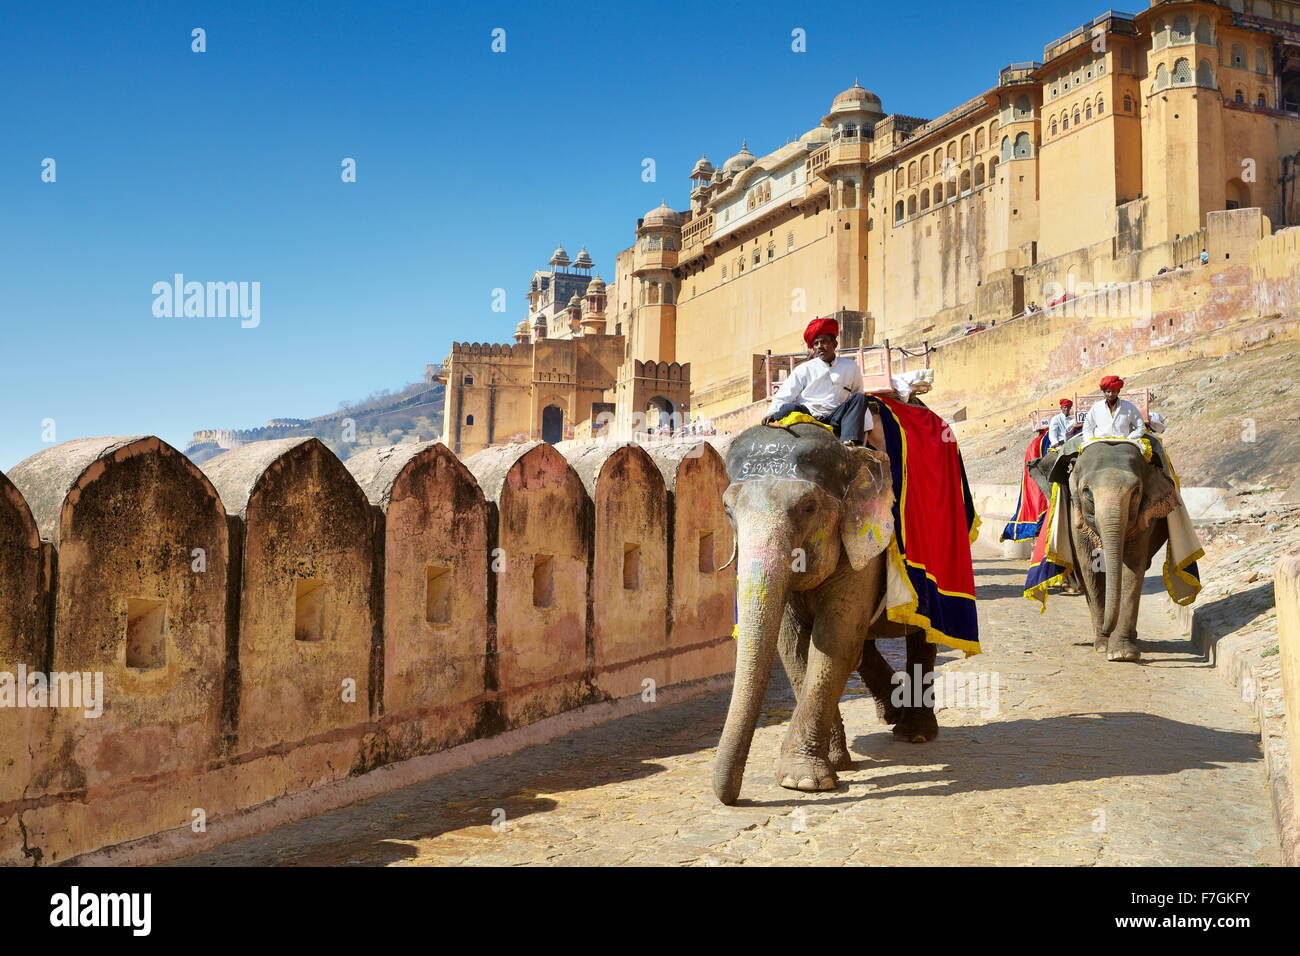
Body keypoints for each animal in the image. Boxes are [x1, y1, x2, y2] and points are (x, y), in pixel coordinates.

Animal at [714, 421, 939, 806]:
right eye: (728, 511)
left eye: (808, 507)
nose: (731, 798)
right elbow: (795, 649)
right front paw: (834, 764)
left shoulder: (864, 546)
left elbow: (833, 643)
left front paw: (801, 781)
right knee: (862, 645)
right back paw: (891, 711)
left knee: (921, 634)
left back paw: (916, 733)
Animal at [1049, 440, 1181, 662]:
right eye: (1087, 491)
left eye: (1136, 491)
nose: (1105, 630)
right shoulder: (1077, 520)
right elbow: (1090, 569)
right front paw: (1103, 645)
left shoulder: (1144, 520)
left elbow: (1133, 567)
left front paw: (1122, 653)